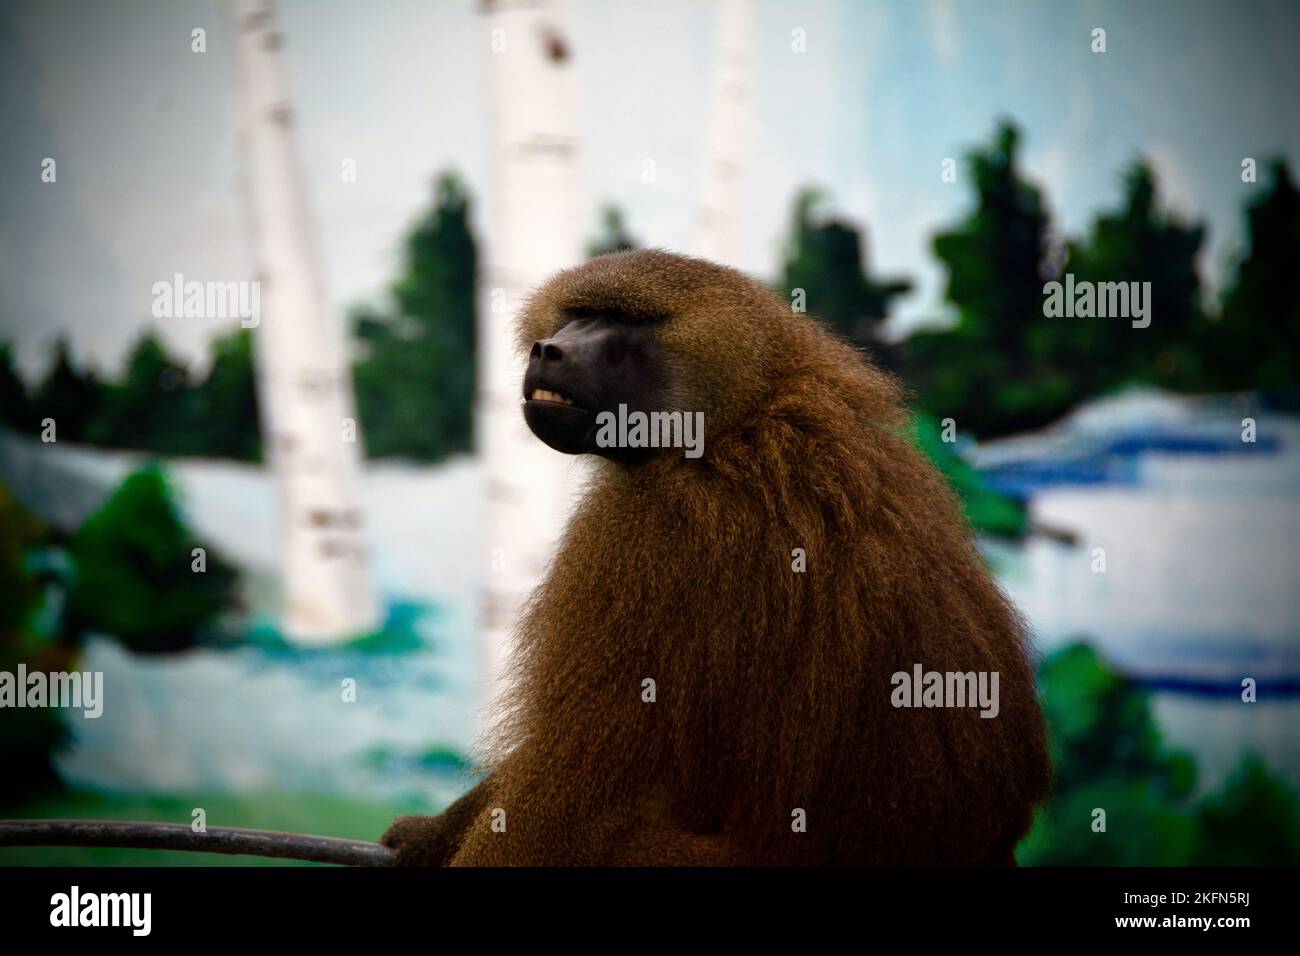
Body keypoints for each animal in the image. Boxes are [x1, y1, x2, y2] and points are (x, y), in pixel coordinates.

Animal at [382, 249, 1050, 866]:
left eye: (621, 321)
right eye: (577, 314)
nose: (548, 350)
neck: (741, 420)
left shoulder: (646, 532)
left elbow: (566, 800)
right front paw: (423, 839)